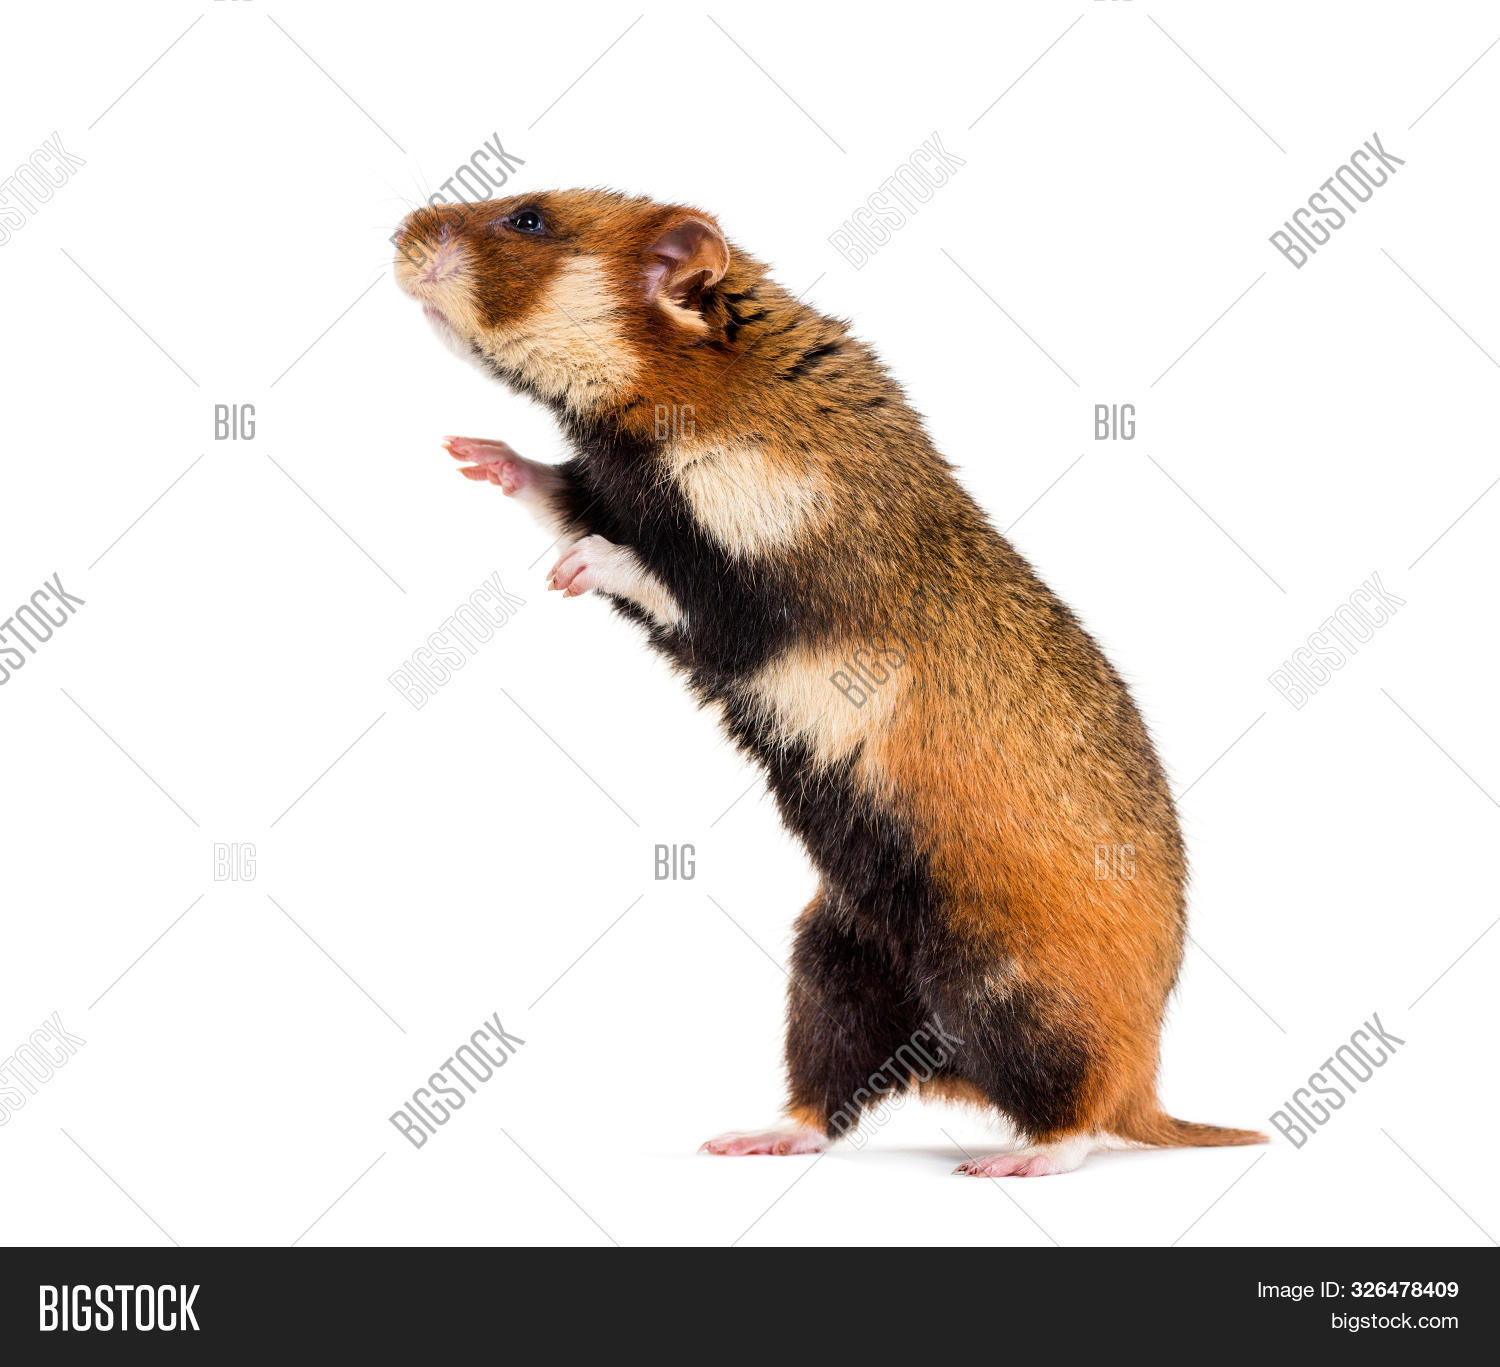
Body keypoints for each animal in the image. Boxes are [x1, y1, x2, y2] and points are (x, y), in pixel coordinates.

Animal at [392, 189, 1266, 1176]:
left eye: (528, 221)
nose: (397, 234)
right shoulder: (624, 494)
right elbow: (563, 491)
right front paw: (480, 453)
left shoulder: (772, 589)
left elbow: (653, 571)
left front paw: (578, 565)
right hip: (833, 960)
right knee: (831, 1097)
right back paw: (755, 1137)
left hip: (1022, 993)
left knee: (1081, 1115)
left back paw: (1017, 1157)